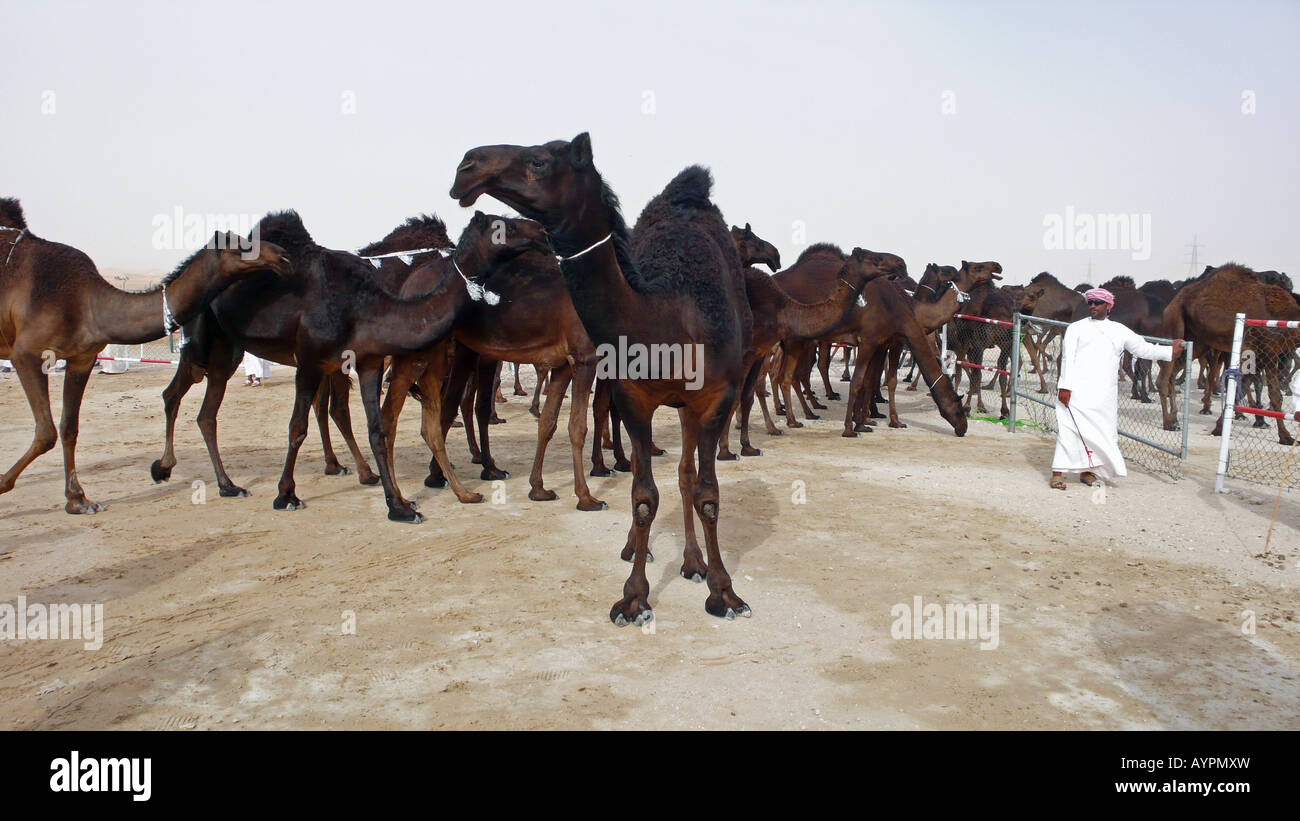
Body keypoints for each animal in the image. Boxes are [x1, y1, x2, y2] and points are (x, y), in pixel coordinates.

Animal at [0, 197, 291, 513]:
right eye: (240, 246)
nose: (283, 257)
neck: (84, 302)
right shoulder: (27, 354)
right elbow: (46, 432)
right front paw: (4, 484)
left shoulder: (81, 358)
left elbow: (68, 428)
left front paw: (78, 499)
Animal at [451, 134, 753, 625]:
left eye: (539, 159)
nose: (467, 166)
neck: (669, 316)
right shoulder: (633, 398)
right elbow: (643, 495)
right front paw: (633, 597)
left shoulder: (717, 398)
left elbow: (707, 493)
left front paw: (723, 592)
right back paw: (641, 549)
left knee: (687, 474)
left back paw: (693, 561)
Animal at [1158, 263, 1300, 444]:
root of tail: (1173, 301)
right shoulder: (1264, 352)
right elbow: (1264, 393)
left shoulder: (1262, 355)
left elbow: (1256, 391)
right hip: (1175, 325)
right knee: (1163, 377)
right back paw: (1168, 422)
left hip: (1197, 342)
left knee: (1173, 373)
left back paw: (1175, 418)